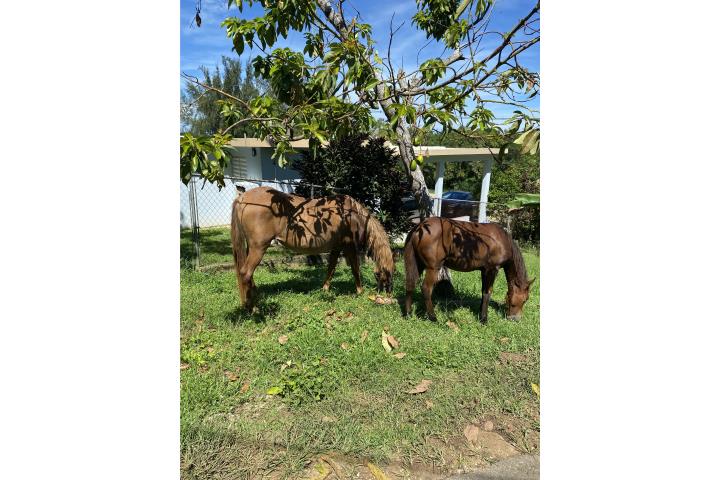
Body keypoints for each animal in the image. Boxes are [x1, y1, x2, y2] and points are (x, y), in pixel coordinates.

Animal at [230, 186, 395, 311]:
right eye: (387, 273)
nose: (389, 294)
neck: (352, 214)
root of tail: (242, 198)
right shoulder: (349, 246)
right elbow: (355, 269)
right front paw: (360, 291)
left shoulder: (336, 248)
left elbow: (331, 269)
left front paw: (325, 289)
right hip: (259, 247)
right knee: (245, 273)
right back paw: (253, 308)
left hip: (251, 248)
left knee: (248, 274)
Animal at [403, 217, 534, 323]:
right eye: (525, 299)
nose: (515, 319)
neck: (501, 240)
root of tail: (419, 227)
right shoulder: (492, 269)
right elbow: (488, 292)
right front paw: (484, 319)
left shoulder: (484, 270)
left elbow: (483, 291)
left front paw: (480, 314)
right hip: (433, 268)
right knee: (426, 288)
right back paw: (433, 317)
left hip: (418, 264)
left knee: (410, 284)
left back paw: (408, 314)